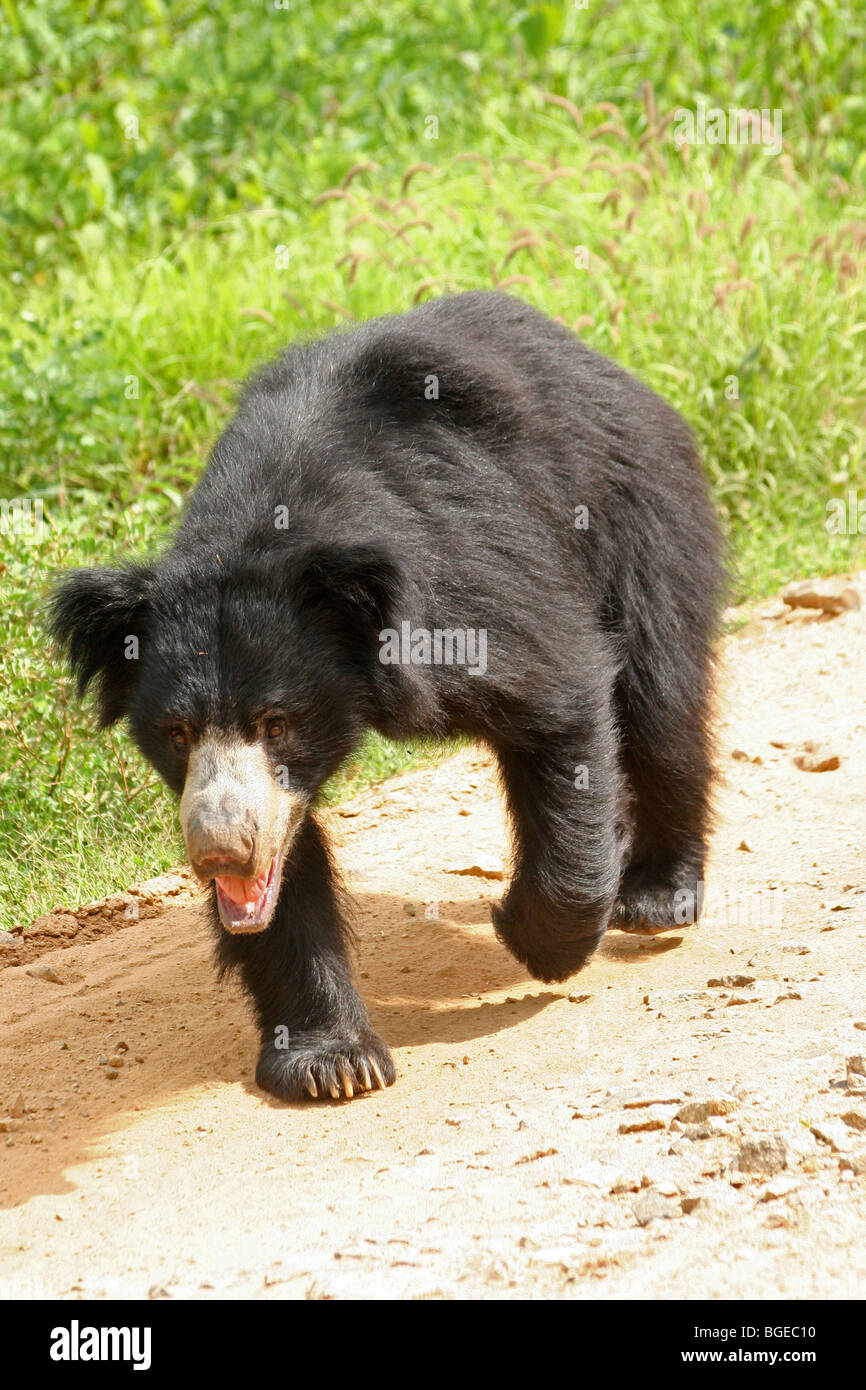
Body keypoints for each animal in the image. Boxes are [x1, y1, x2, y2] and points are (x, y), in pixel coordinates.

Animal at [49, 291, 725, 1102]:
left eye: (276, 722)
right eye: (176, 733)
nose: (219, 852)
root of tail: (605, 365)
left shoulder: (466, 587)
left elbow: (556, 695)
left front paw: (532, 934)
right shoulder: (265, 795)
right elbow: (287, 865)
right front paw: (330, 1061)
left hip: (637, 510)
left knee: (660, 701)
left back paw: (655, 895)